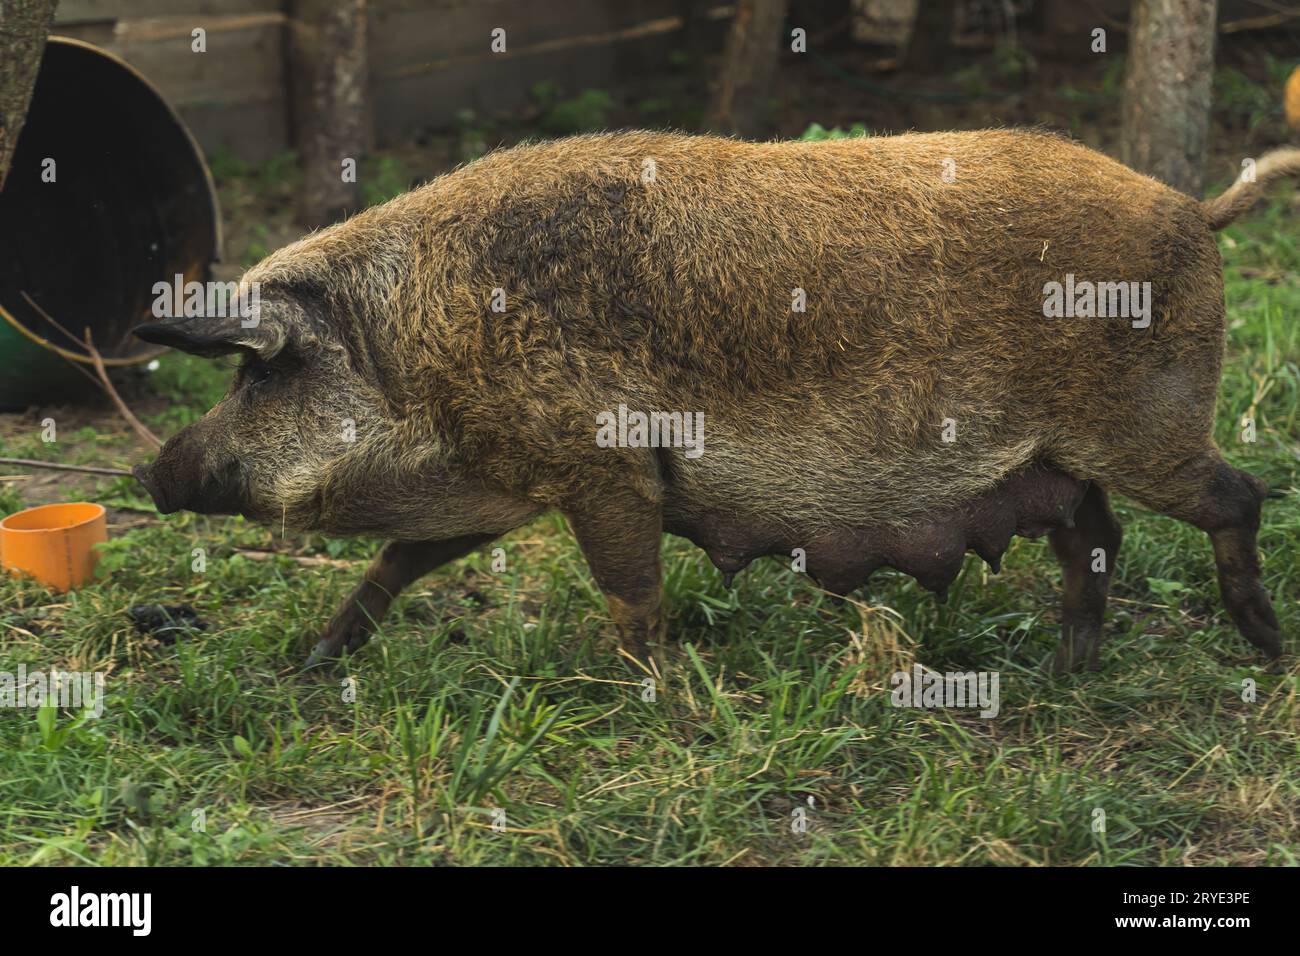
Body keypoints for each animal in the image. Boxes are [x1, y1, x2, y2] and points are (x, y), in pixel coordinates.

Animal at [131, 130, 1300, 674]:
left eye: (256, 370)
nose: (153, 469)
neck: (417, 351)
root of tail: (1194, 208)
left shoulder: (604, 466)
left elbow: (631, 588)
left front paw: (644, 688)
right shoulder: (495, 479)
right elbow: (400, 560)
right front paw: (312, 663)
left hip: (1147, 425)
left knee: (1237, 497)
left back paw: (1264, 648)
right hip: (1057, 458)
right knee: (1095, 534)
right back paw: (1066, 670)